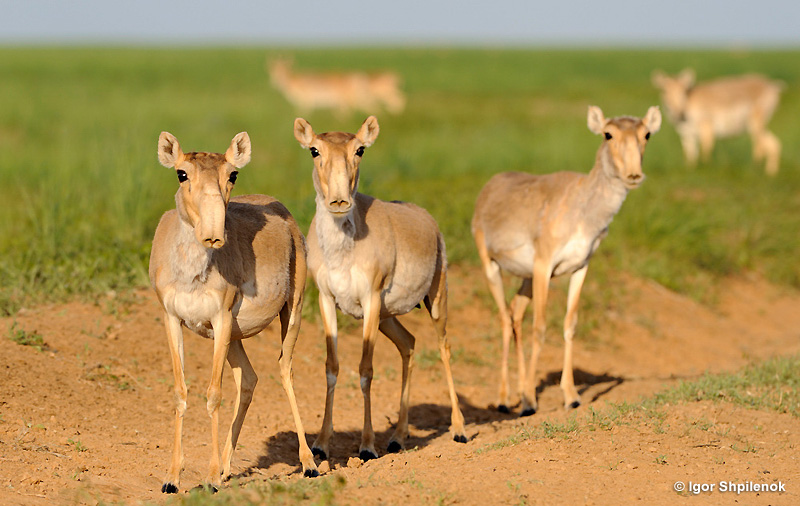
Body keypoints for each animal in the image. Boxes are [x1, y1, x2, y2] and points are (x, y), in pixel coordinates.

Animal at [149, 132, 318, 492]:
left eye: (232, 174)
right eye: (181, 173)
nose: (213, 234)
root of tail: (281, 210)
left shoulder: (222, 318)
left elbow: (214, 394)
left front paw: (211, 478)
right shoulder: (173, 320)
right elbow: (180, 392)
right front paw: (172, 478)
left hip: (291, 311)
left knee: (285, 370)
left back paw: (309, 463)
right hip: (234, 337)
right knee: (250, 378)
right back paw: (229, 466)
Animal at [269, 58, 406, 116]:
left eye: (284, 69)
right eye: (273, 70)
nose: (276, 81)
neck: (293, 80)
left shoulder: (306, 101)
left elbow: (302, 113)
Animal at [293, 116, 467, 461]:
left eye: (359, 149)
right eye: (314, 150)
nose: (339, 201)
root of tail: (427, 219)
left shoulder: (370, 300)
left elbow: (365, 369)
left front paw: (367, 446)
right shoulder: (327, 300)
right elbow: (332, 367)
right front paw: (320, 444)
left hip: (435, 299)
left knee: (444, 347)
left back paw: (459, 429)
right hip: (388, 318)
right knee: (409, 344)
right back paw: (398, 437)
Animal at [472, 106, 661, 416]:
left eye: (646, 134)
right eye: (608, 134)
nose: (634, 174)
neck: (583, 208)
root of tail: (489, 186)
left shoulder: (580, 267)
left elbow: (570, 325)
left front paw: (571, 396)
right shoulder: (544, 265)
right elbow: (540, 328)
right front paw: (529, 401)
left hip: (526, 278)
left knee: (515, 312)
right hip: (491, 266)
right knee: (503, 317)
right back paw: (504, 399)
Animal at [652, 69, 784, 175]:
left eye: (683, 91)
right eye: (664, 91)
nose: (679, 114)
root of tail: (772, 85)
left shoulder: (706, 127)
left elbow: (705, 150)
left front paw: (705, 169)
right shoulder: (686, 135)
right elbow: (690, 155)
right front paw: (691, 170)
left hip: (755, 124)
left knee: (760, 145)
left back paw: (754, 168)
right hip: (757, 126)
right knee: (774, 144)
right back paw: (770, 173)